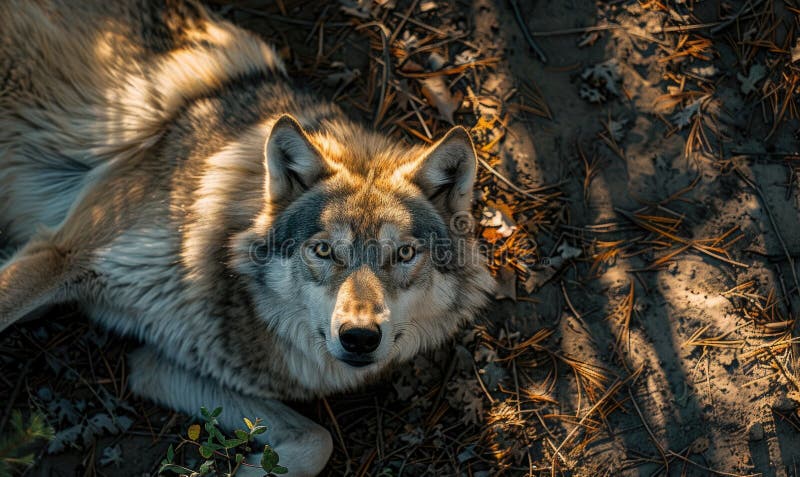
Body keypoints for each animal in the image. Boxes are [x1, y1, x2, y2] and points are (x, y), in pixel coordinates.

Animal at [0, 0, 494, 474]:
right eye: (323, 250)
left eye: (405, 253)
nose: (359, 338)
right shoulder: (61, 253)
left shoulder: (157, 365)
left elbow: (317, 442)